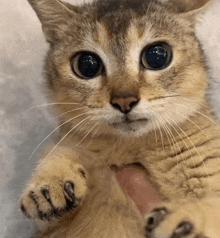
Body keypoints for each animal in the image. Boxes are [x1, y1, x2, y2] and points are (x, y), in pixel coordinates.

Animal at [19, 0, 220, 237]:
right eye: (87, 65)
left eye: (157, 56)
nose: (124, 101)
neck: (130, 146)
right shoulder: (48, 228)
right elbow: (59, 150)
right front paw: (48, 184)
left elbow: (213, 204)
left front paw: (186, 219)